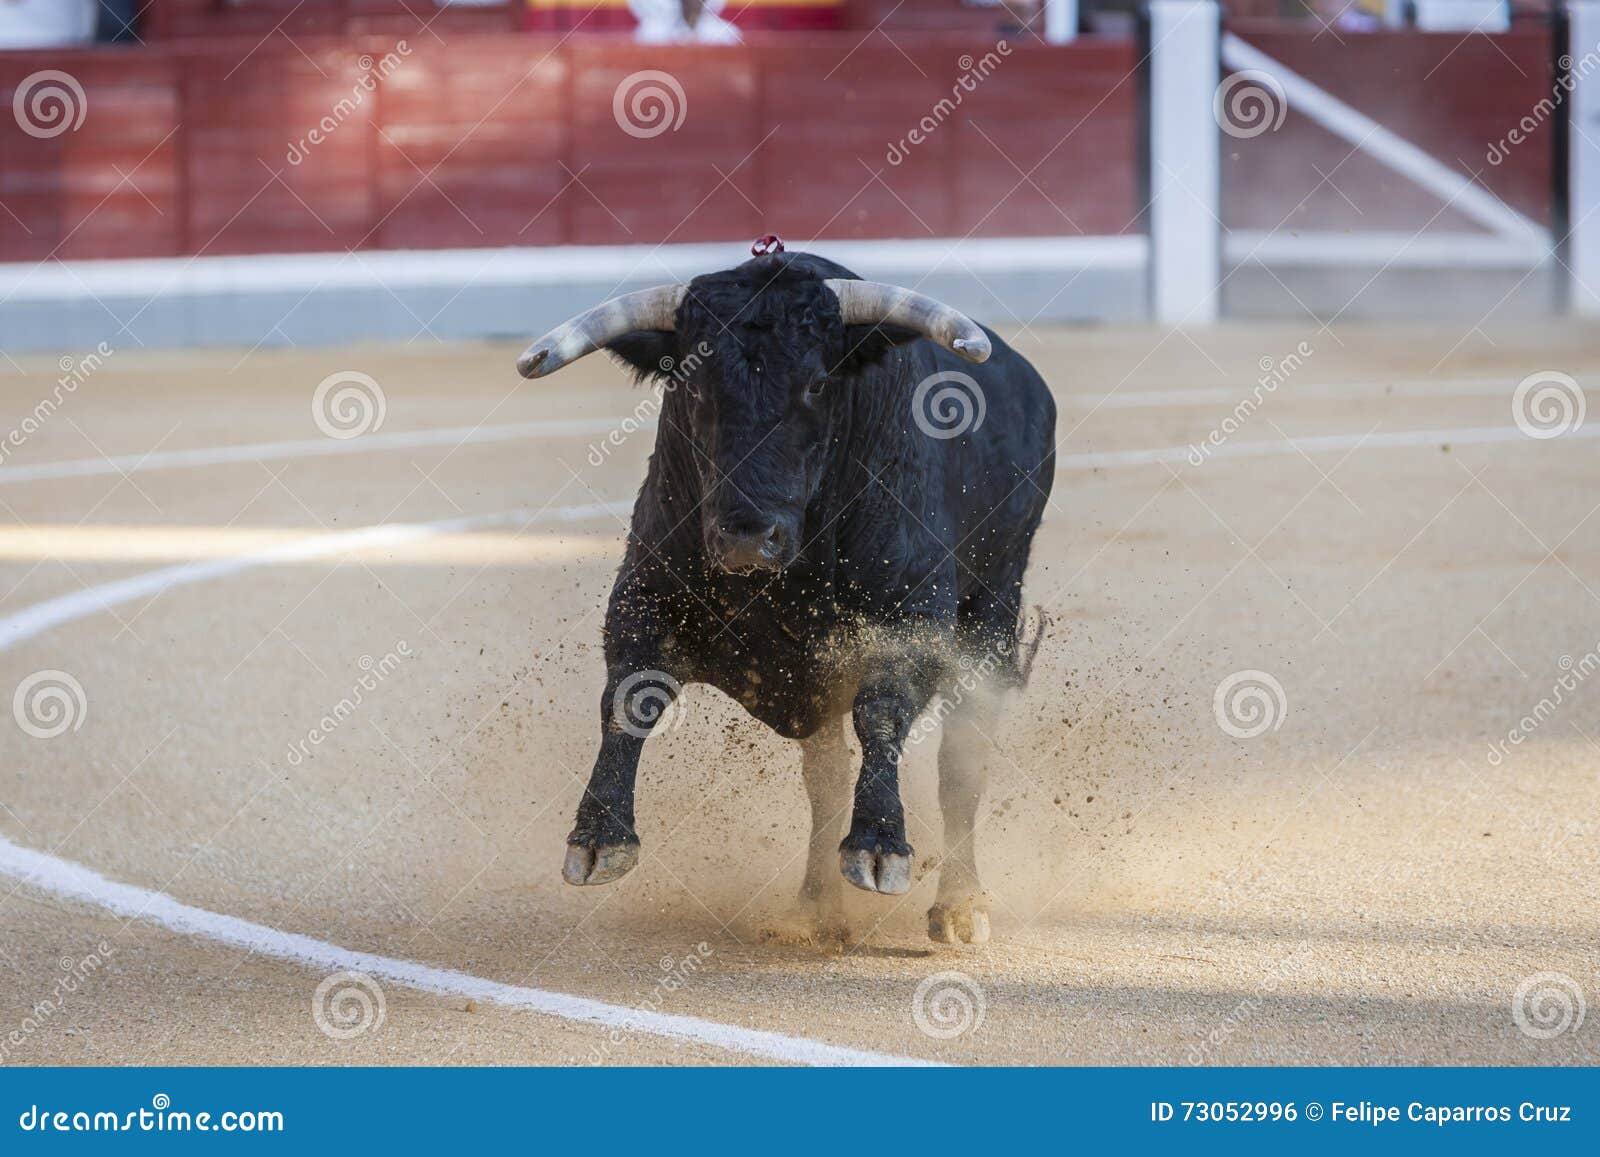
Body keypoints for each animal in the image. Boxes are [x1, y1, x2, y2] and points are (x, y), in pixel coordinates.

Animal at [516, 244, 1054, 944]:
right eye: (692, 385)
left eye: (818, 385)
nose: (749, 535)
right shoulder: (645, 597)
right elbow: (629, 698)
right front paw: (599, 838)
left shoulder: (910, 621)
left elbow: (882, 714)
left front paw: (878, 848)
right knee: (825, 778)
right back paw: (816, 907)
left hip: (992, 613)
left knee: (961, 765)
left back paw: (960, 907)